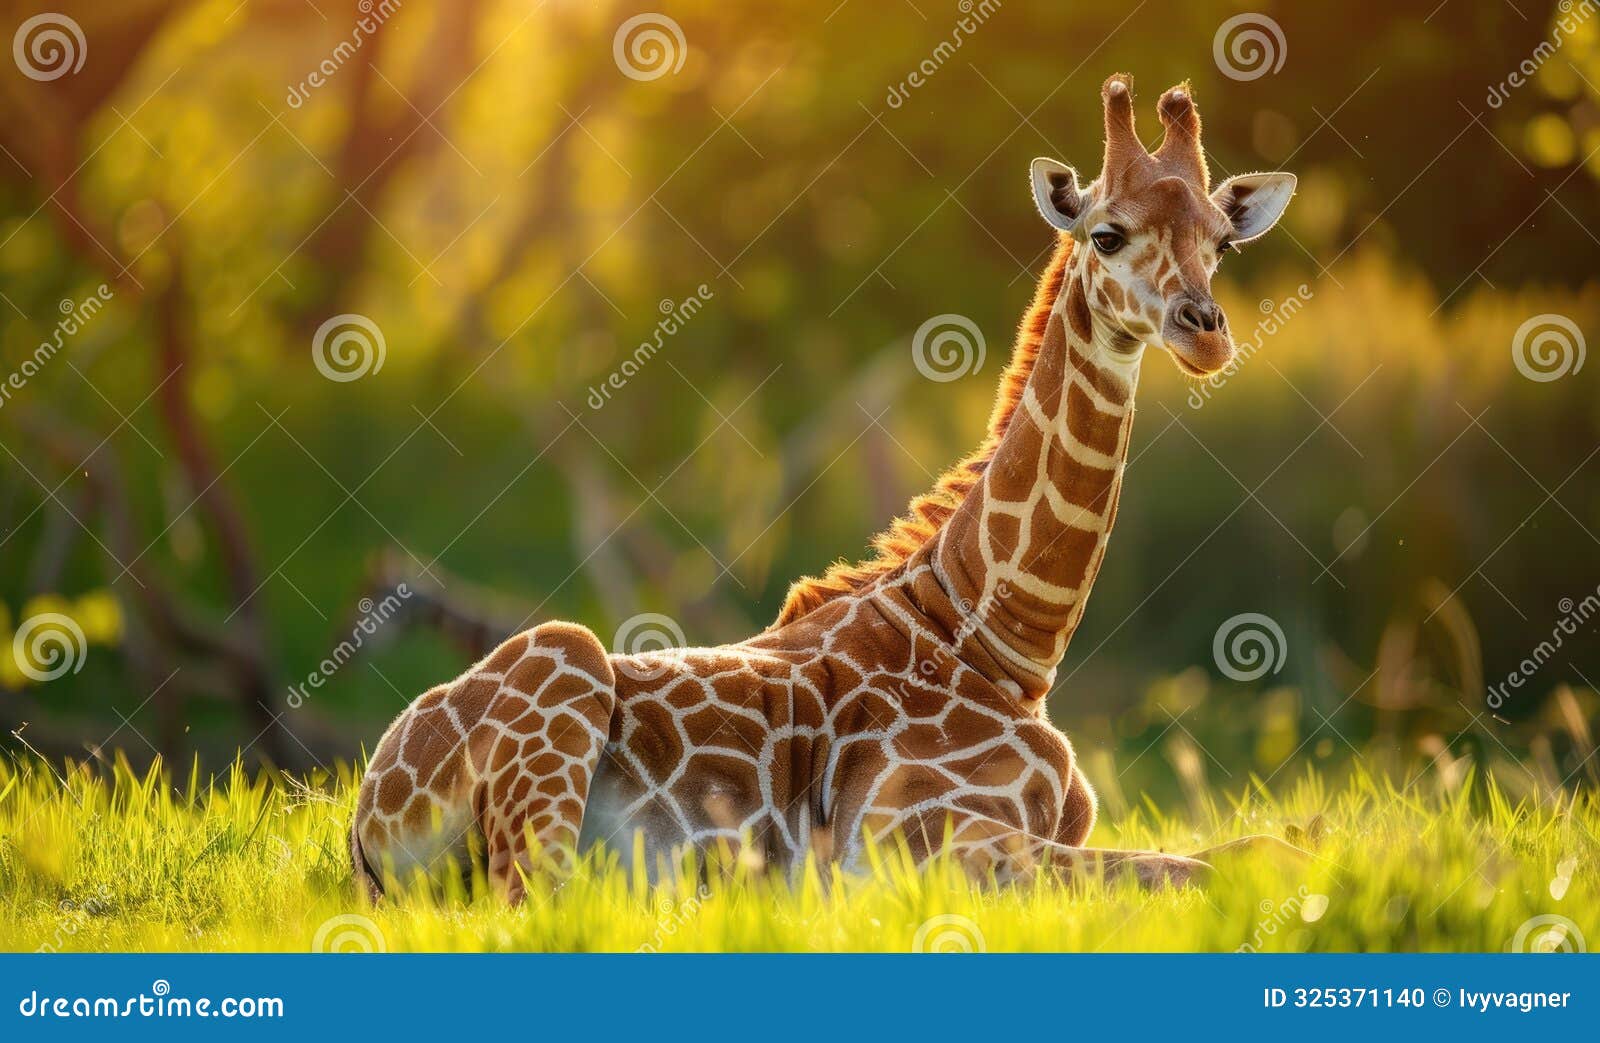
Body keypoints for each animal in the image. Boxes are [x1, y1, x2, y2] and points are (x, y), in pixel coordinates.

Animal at [351, 75, 1298, 903]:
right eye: (1106, 233)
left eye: (1222, 241)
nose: (1206, 334)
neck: (1002, 642)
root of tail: (361, 823)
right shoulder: (904, 838)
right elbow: (1191, 866)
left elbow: (1264, 843)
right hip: (561, 683)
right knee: (538, 900)